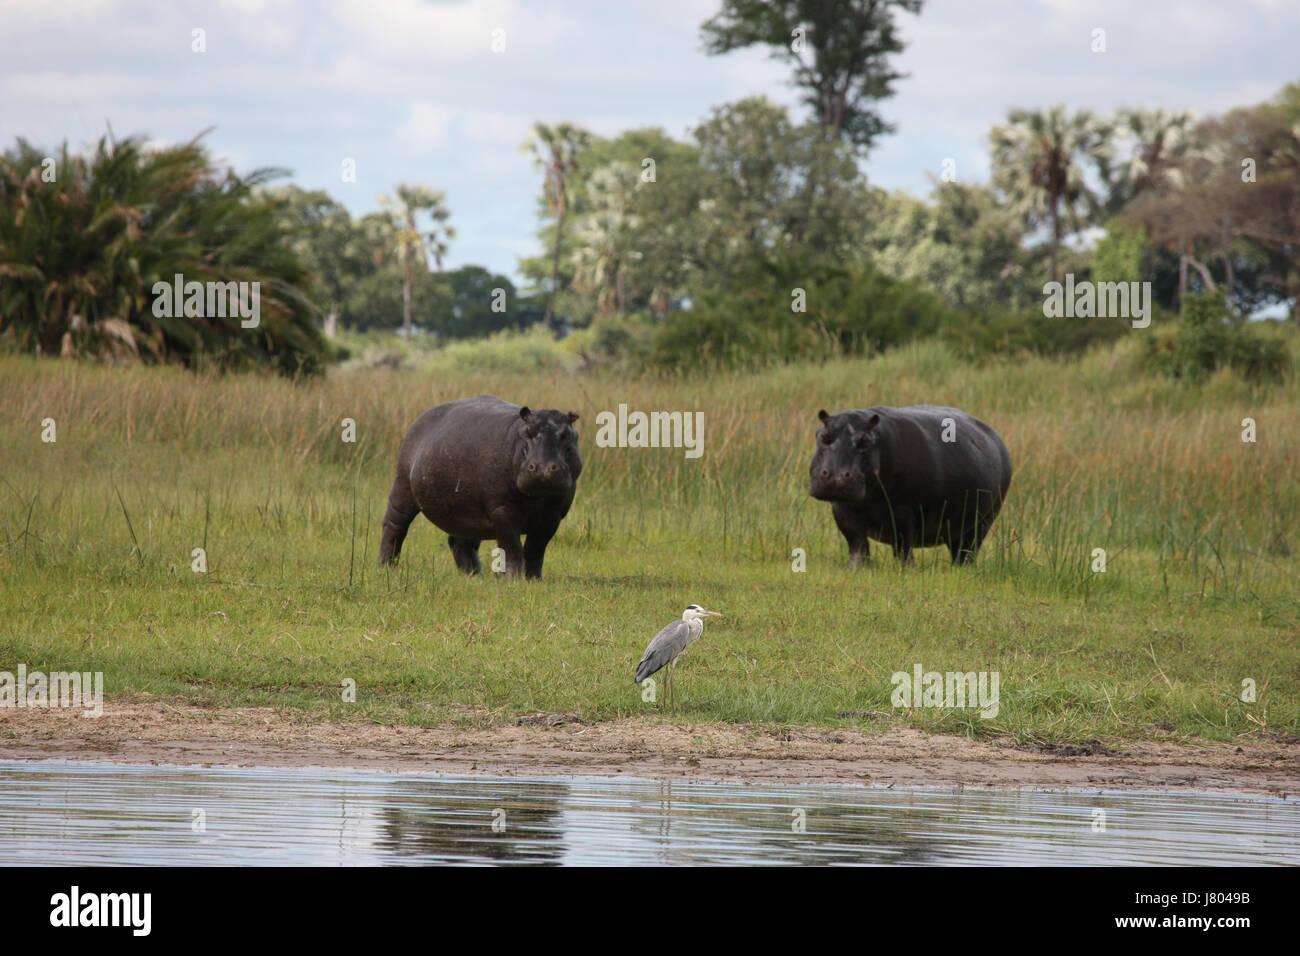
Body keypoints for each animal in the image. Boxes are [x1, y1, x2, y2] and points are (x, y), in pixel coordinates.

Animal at [378, 395, 582, 578]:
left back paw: (474, 576)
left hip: (466, 509)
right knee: (394, 526)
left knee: (461, 541)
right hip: (403, 486)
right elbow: (511, 547)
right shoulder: (502, 509)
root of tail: (420, 419)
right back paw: (386, 567)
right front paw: (513, 580)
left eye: (567, 435)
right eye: (527, 432)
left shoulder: (553, 515)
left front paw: (534, 580)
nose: (543, 468)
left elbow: (536, 549)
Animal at [809, 405, 1012, 566]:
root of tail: (996, 438)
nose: (836, 476)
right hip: (956, 525)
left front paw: (904, 570)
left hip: (984, 520)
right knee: (957, 548)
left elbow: (902, 545)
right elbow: (857, 544)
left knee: (969, 549)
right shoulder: (843, 508)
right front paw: (856, 569)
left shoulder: (904, 511)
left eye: (865, 442)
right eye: (822, 436)